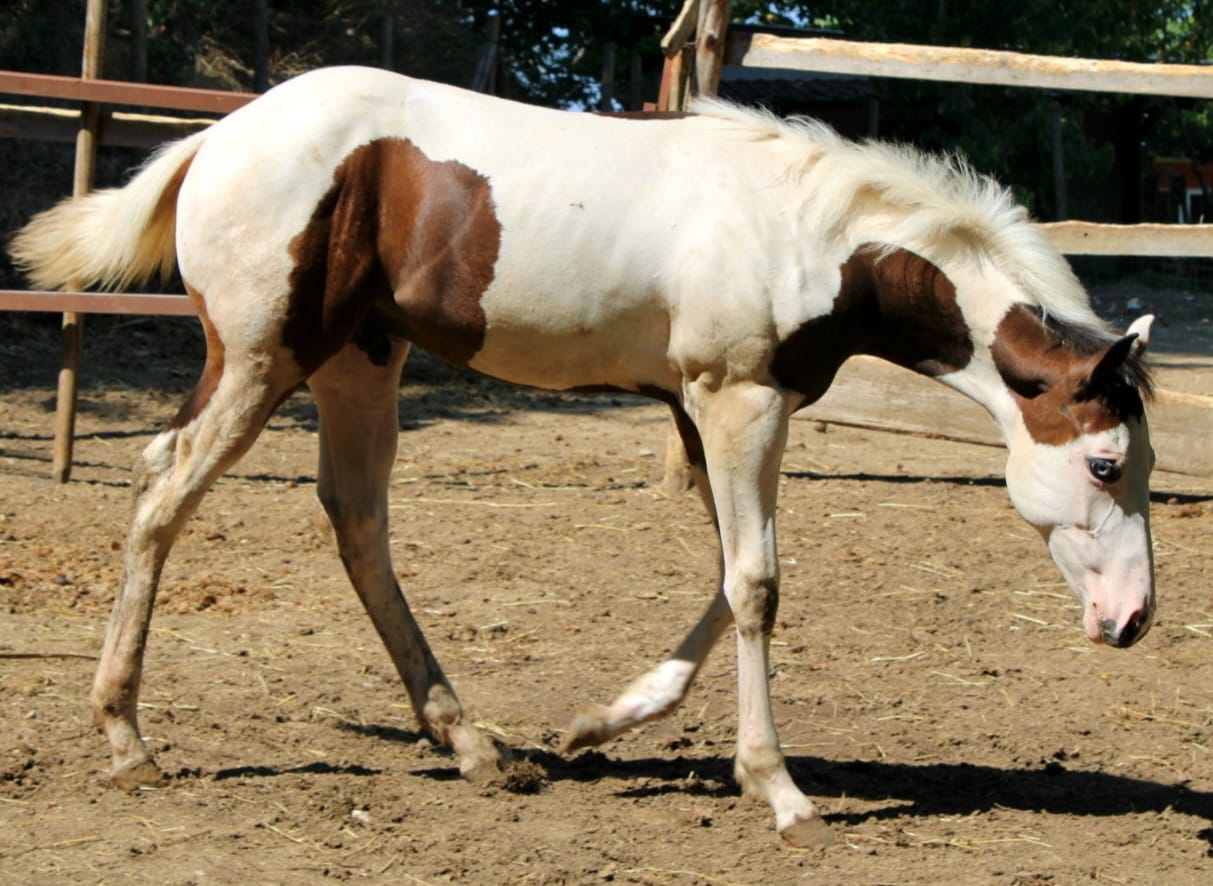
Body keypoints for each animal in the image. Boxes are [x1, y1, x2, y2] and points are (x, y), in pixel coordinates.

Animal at [10, 66, 1156, 847]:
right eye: (1104, 466)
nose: (1132, 621)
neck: (807, 230)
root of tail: (218, 138)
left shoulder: (715, 408)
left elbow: (730, 577)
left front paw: (602, 723)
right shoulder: (735, 401)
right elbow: (755, 583)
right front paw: (779, 790)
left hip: (358, 361)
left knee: (358, 520)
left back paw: (472, 744)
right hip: (262, 355)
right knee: (164, 486)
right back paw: (127, 741)